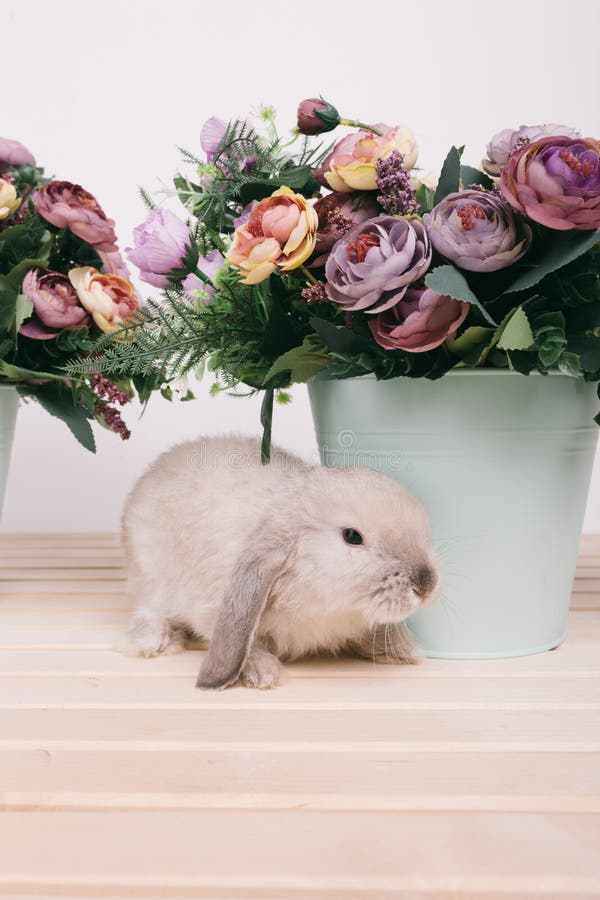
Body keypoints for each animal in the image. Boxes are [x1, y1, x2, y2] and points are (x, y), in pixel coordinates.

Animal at [118, 434, 440, 690]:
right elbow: (238, 641)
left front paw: (403, 650)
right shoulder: (211, 607)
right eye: (352, 536)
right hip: (149, 573)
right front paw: (264, 672)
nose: (426, 584)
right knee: (149, 610)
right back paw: (153, 642)